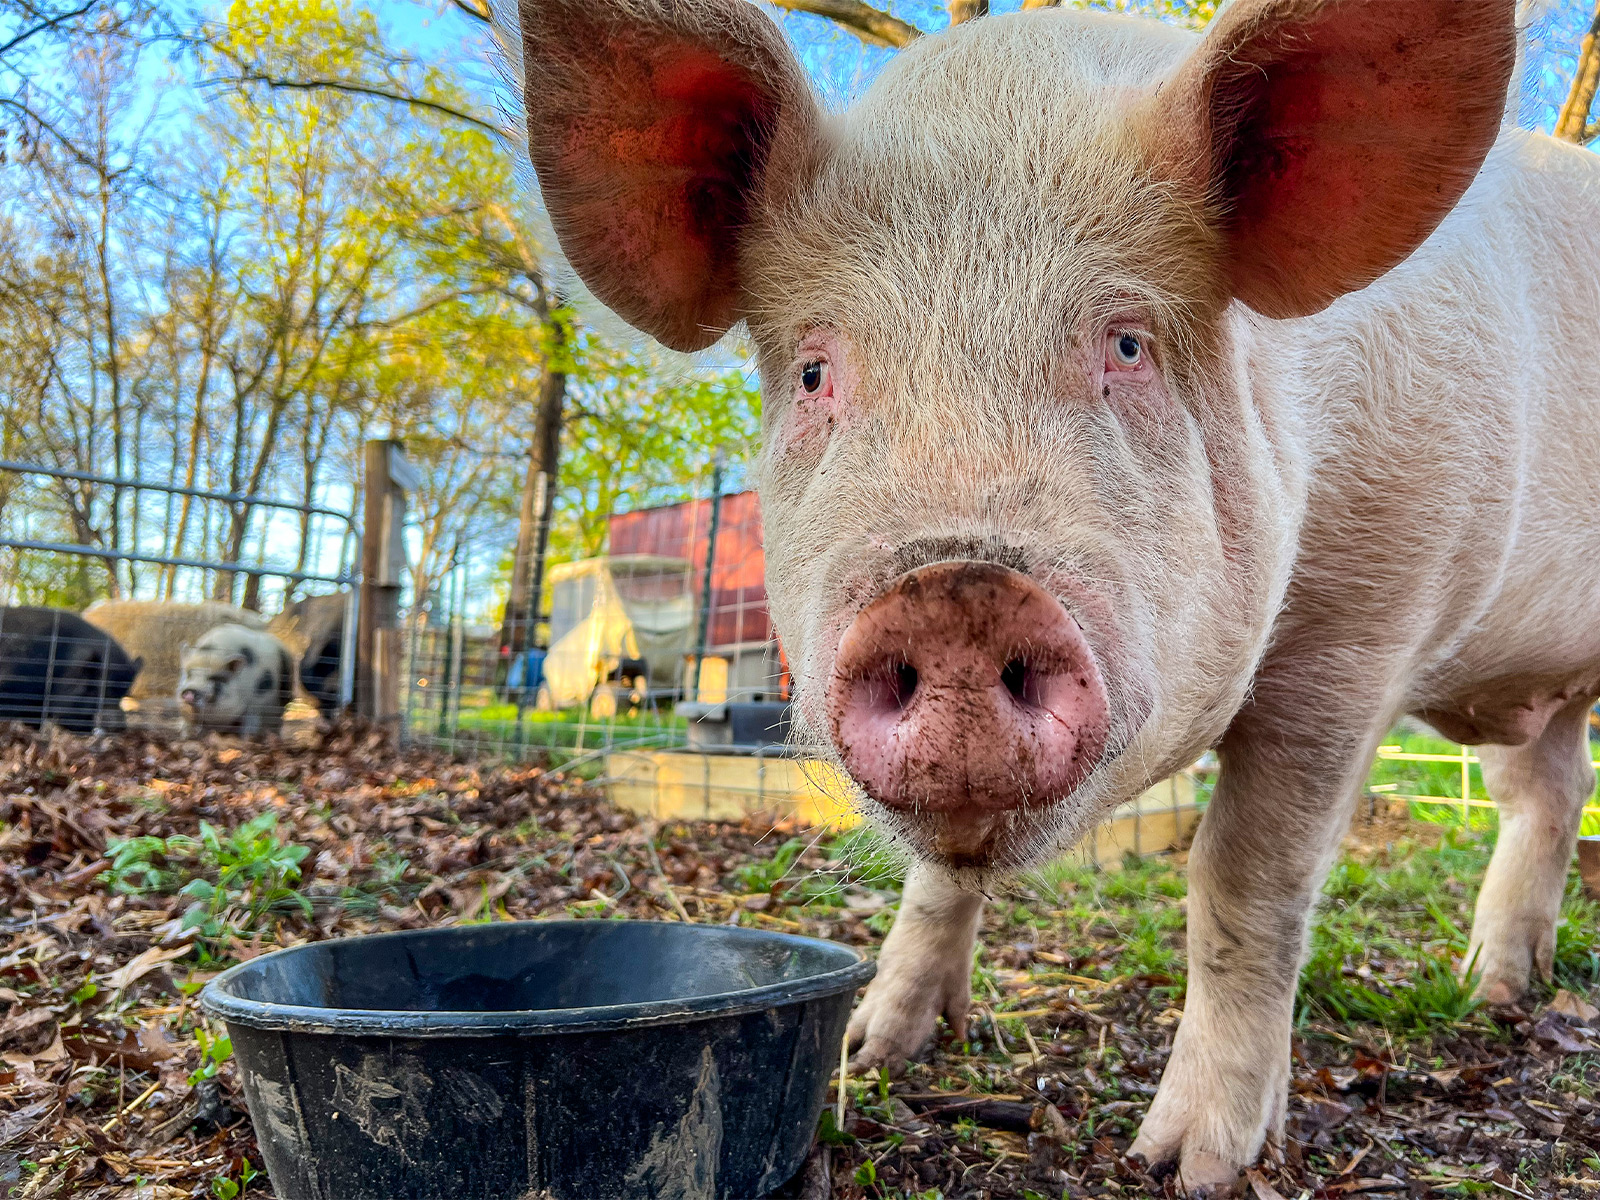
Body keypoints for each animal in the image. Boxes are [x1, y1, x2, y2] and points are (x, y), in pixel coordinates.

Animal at [514, 0, 1599, 1189]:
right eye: (812, 372)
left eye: (1127, 343)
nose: (954, 594)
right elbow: (936, 881)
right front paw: (876, 1051)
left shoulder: (1366, 625)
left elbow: (1247, 879)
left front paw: (1187, 1167)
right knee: (1551, 792)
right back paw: (1492, 990)